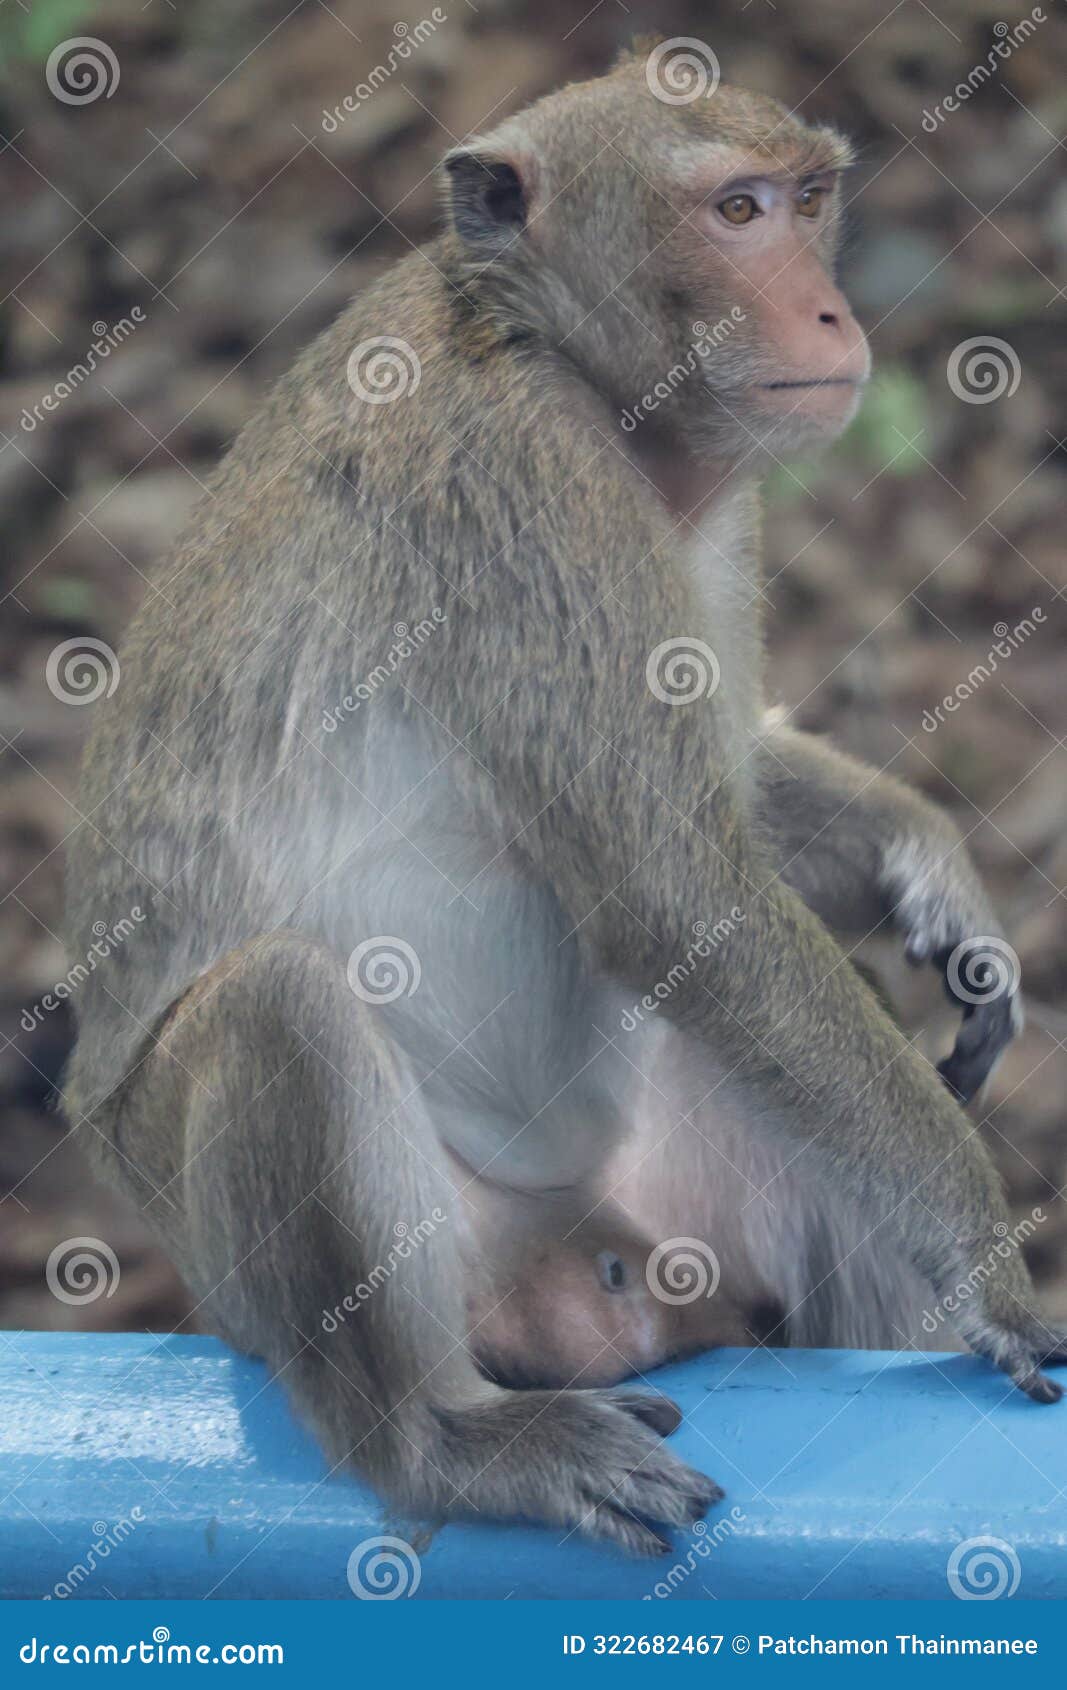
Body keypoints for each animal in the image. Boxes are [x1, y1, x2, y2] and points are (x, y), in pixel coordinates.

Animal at [63, 49, 1060, 1561]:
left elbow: (717, 789)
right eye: (733, 209)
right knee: (278, 1005)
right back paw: (444, 1445)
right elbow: (670, 887)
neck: (541, 342)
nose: (829, 309)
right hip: (236, 1241)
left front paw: (923, 867)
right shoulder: (525, 478)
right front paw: (988, 1262)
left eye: (806, 200)